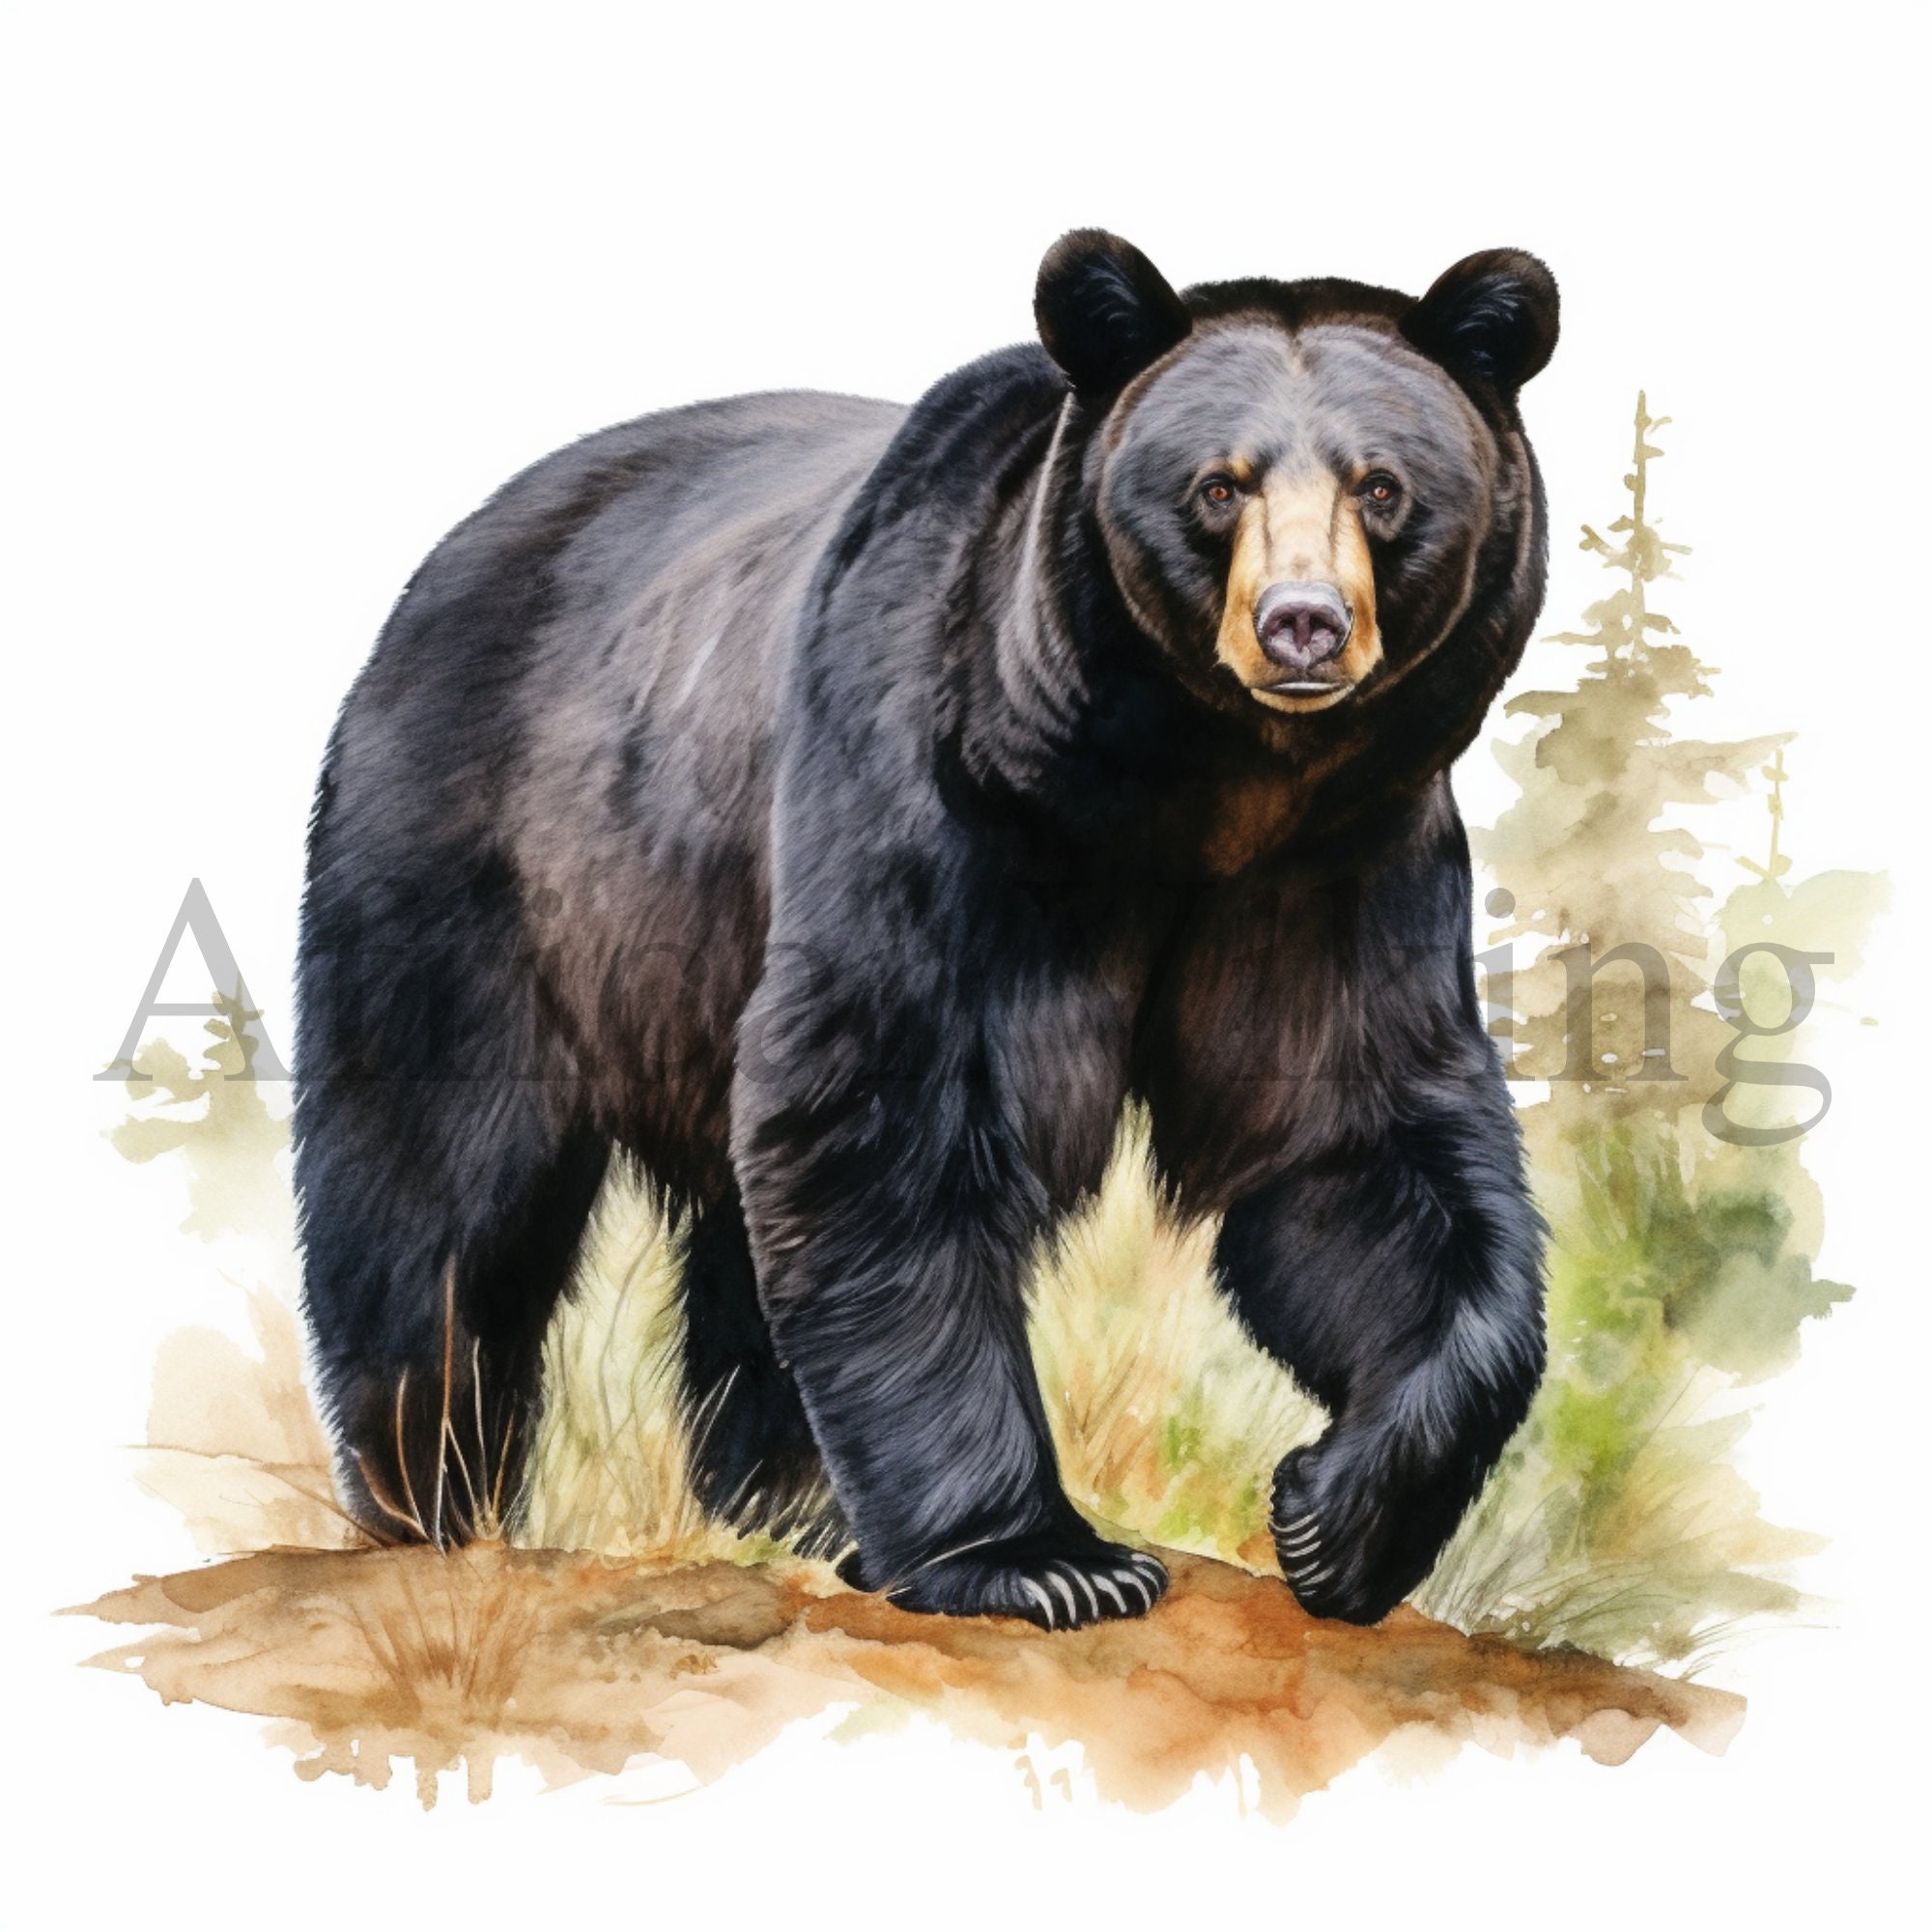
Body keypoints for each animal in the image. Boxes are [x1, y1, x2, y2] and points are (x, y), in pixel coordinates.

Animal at [293, 230, 1557, 1629]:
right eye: (1217, 487)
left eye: (1380, 485)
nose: (1301, 623)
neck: (1190, 782)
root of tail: (455, 543)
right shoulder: (935, 791)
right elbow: (888, 1111)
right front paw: (1044, 1556)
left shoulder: (1336, 857)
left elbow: (1354, 1141)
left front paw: (1341, 1517)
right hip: (490, 862)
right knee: (438, 1186)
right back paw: (432, 1495)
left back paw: (787, 1501)